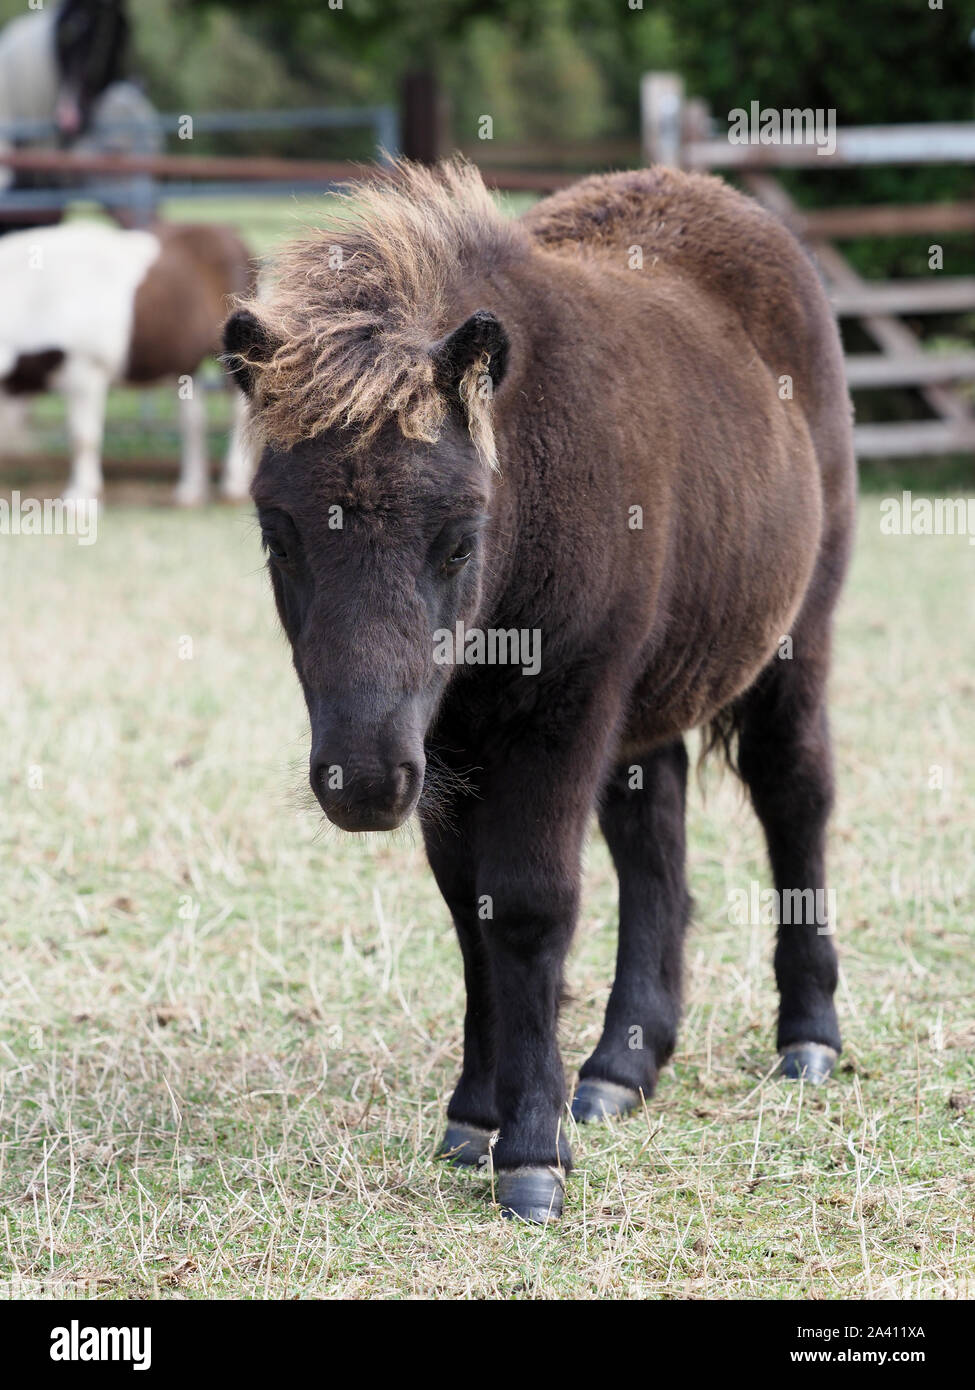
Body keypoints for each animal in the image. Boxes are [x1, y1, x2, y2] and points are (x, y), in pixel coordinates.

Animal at [0, 220, 255, 503]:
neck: (39, 297)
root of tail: (231, 233)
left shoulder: (86, 371)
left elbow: (83, 436)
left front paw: (80, 497)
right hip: (187, 364)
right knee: (193, 421)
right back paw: (190, 490)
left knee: (238, 411)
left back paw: (233, 485)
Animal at [223, 158, 857, 1224]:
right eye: (278, 535)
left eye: (458, 539)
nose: (361, 783)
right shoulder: (448, 745)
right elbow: (467, 909)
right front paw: (476, 1114)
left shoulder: (560, 710)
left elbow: (526, 905)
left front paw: (530, 1150)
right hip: (645, 696)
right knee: (654, 844)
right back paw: (620, 1066)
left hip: (790, 642)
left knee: (793, 795)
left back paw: (807, 1034)